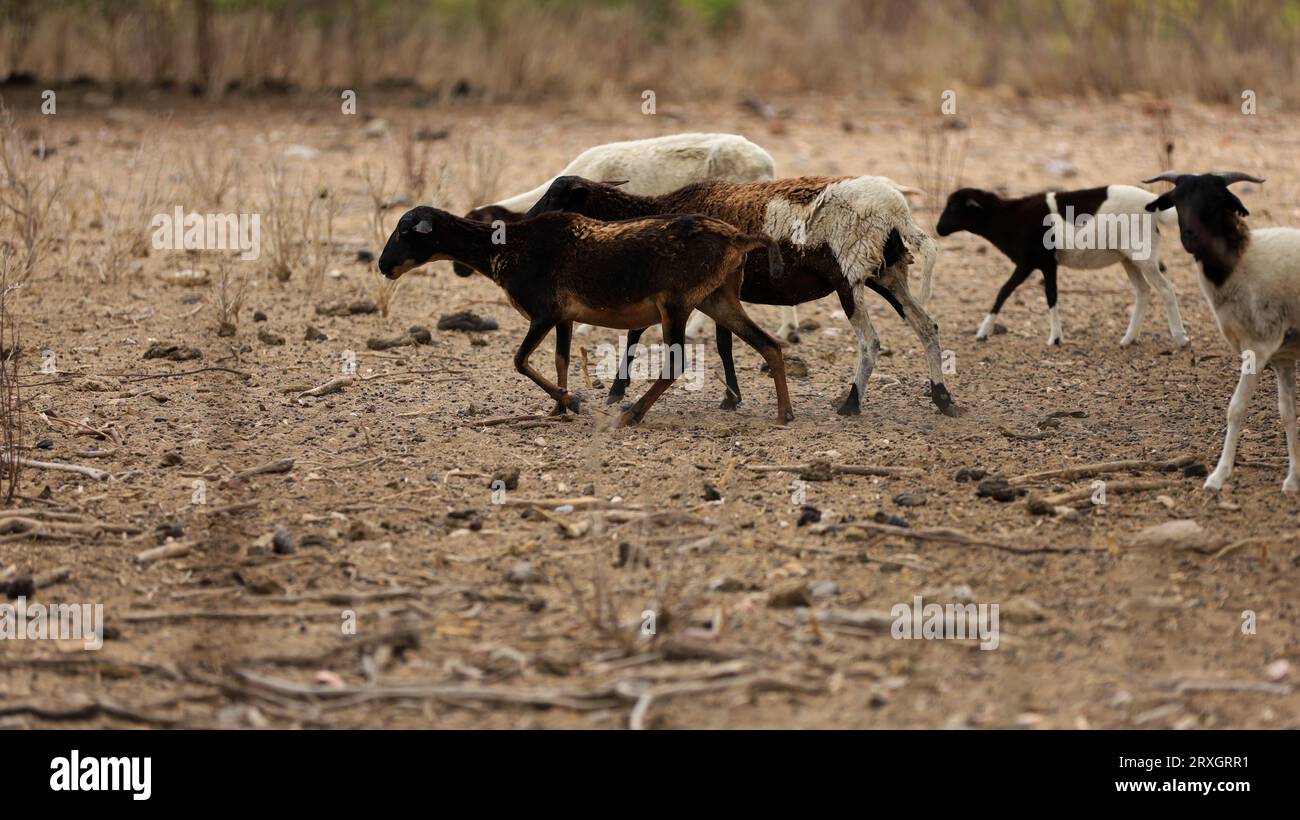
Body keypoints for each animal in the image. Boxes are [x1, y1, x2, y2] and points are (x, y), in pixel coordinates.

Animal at [377, 205, 795, 427]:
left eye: (404, 231)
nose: (383, 265)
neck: (508, 246)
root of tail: (738, 238)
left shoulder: (544, 312)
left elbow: (519, 360)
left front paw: (571, 401)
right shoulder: (564, 317)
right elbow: (560, 359)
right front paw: (558, 408)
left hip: (675, 304)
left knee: (676, 364)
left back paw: (630, 415)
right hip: (718, 298)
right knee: (770, 345)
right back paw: (785, 413)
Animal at [524, 175, 956, 418]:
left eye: (554, 197)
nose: (525, 222)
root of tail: (897, 211)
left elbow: (635, 334)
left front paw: (617, 392)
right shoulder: (713, 291)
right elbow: (723, 343)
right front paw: (731, 398)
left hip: (849, 277)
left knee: (871, 340)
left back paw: (851, 403)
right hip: (888, 274)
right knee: (927, 326)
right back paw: (943, 398)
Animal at [936, 185, 1188, 347]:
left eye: (953, 207)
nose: (938, 229)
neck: (1008, 217)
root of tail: (1153, 204)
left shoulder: (1035, 262)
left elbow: (1011, 292)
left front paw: (984, 332)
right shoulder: (1044, 264)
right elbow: (1045, 294)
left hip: (1143, 256)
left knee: (1166, 290)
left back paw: (1181, 338)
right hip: (1129, 258)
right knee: (1143, 291)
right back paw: (1128, 339)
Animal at [1142, 171, 1299, 493]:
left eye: (1216, 200)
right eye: (1176, 199)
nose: (1190, 236)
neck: (1240, 261)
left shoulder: (1258, 345)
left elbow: (1236, 408)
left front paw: (1218, 476)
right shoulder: (1283, 356)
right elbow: (1287, 413)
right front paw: (1293, 480)